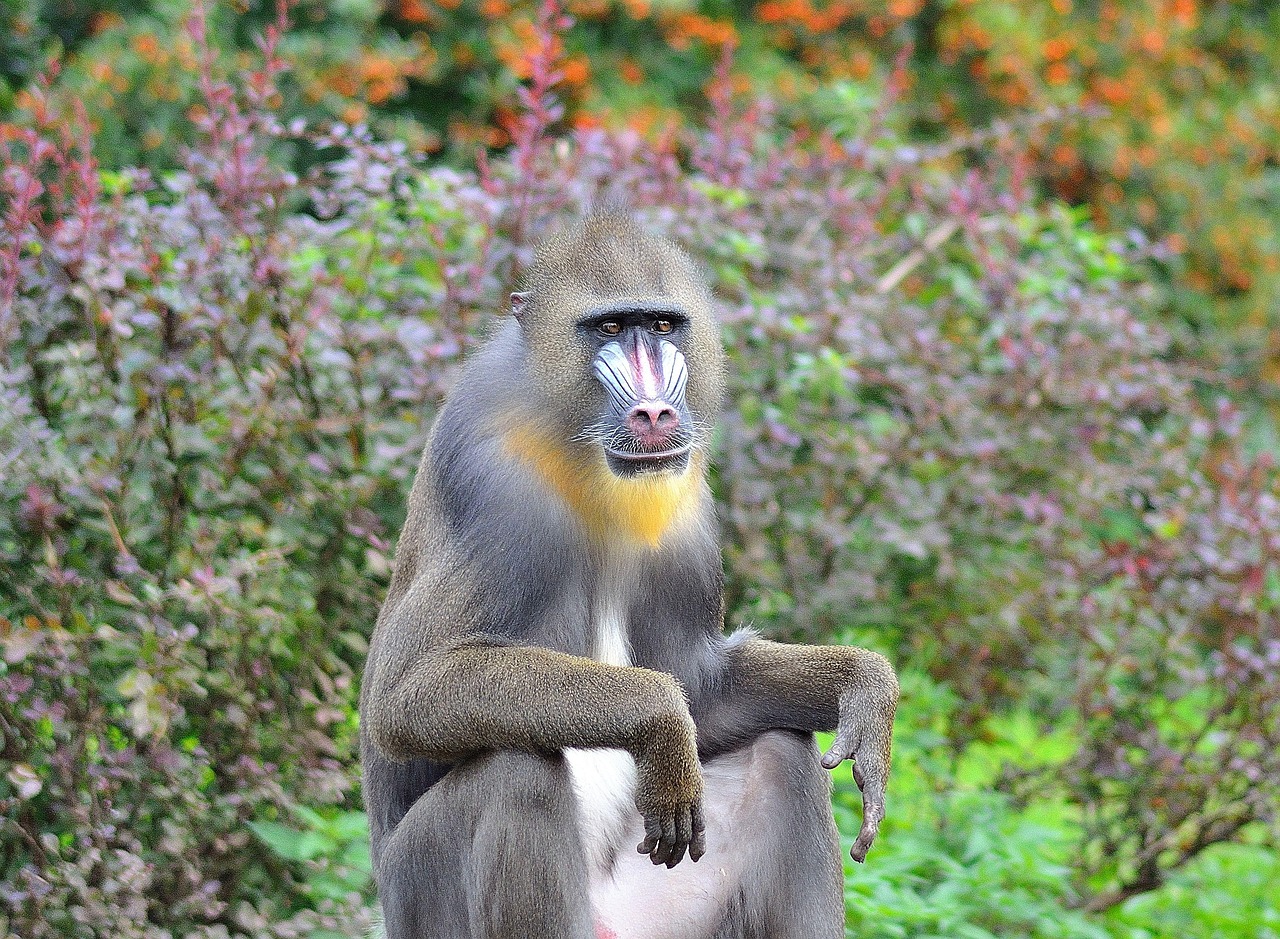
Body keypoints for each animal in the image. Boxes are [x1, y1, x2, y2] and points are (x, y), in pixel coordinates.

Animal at [359, 213, 899, 939]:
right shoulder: (493, 487)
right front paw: (662, 722)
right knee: (515, 770)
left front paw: (864, 685)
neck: (586, 466)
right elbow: (406, 694)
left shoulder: (686, 503)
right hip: (425, 900)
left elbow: (703, 685)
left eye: (663, 326)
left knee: (781, 755)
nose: (653, 412)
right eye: (610, 328)